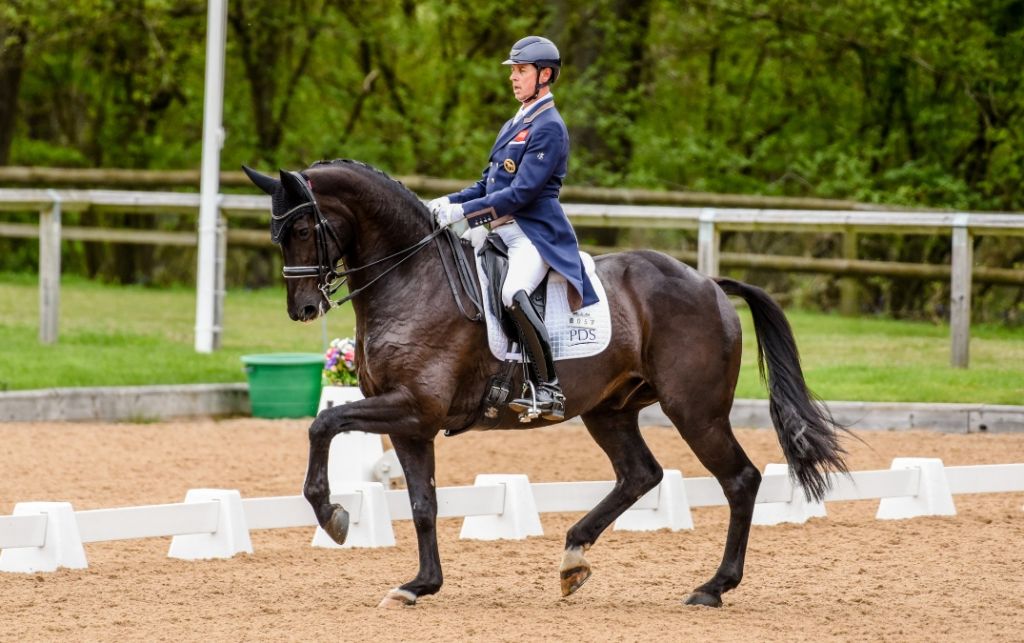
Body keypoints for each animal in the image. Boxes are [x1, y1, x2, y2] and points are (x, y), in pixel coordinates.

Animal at [242, 160, 848, 609]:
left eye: (302, 230)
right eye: (277, 234)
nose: (304, 308)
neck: (412, 279)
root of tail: (709, 283)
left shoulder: (413, 408)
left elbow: (324, 424)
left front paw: (333, 516)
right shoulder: (411, 422)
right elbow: (422, 503)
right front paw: (419, 585)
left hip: (695, 411)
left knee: (740, 480)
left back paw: (712, 587)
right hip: (610, 410)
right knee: (641, 475)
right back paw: (573, 559)